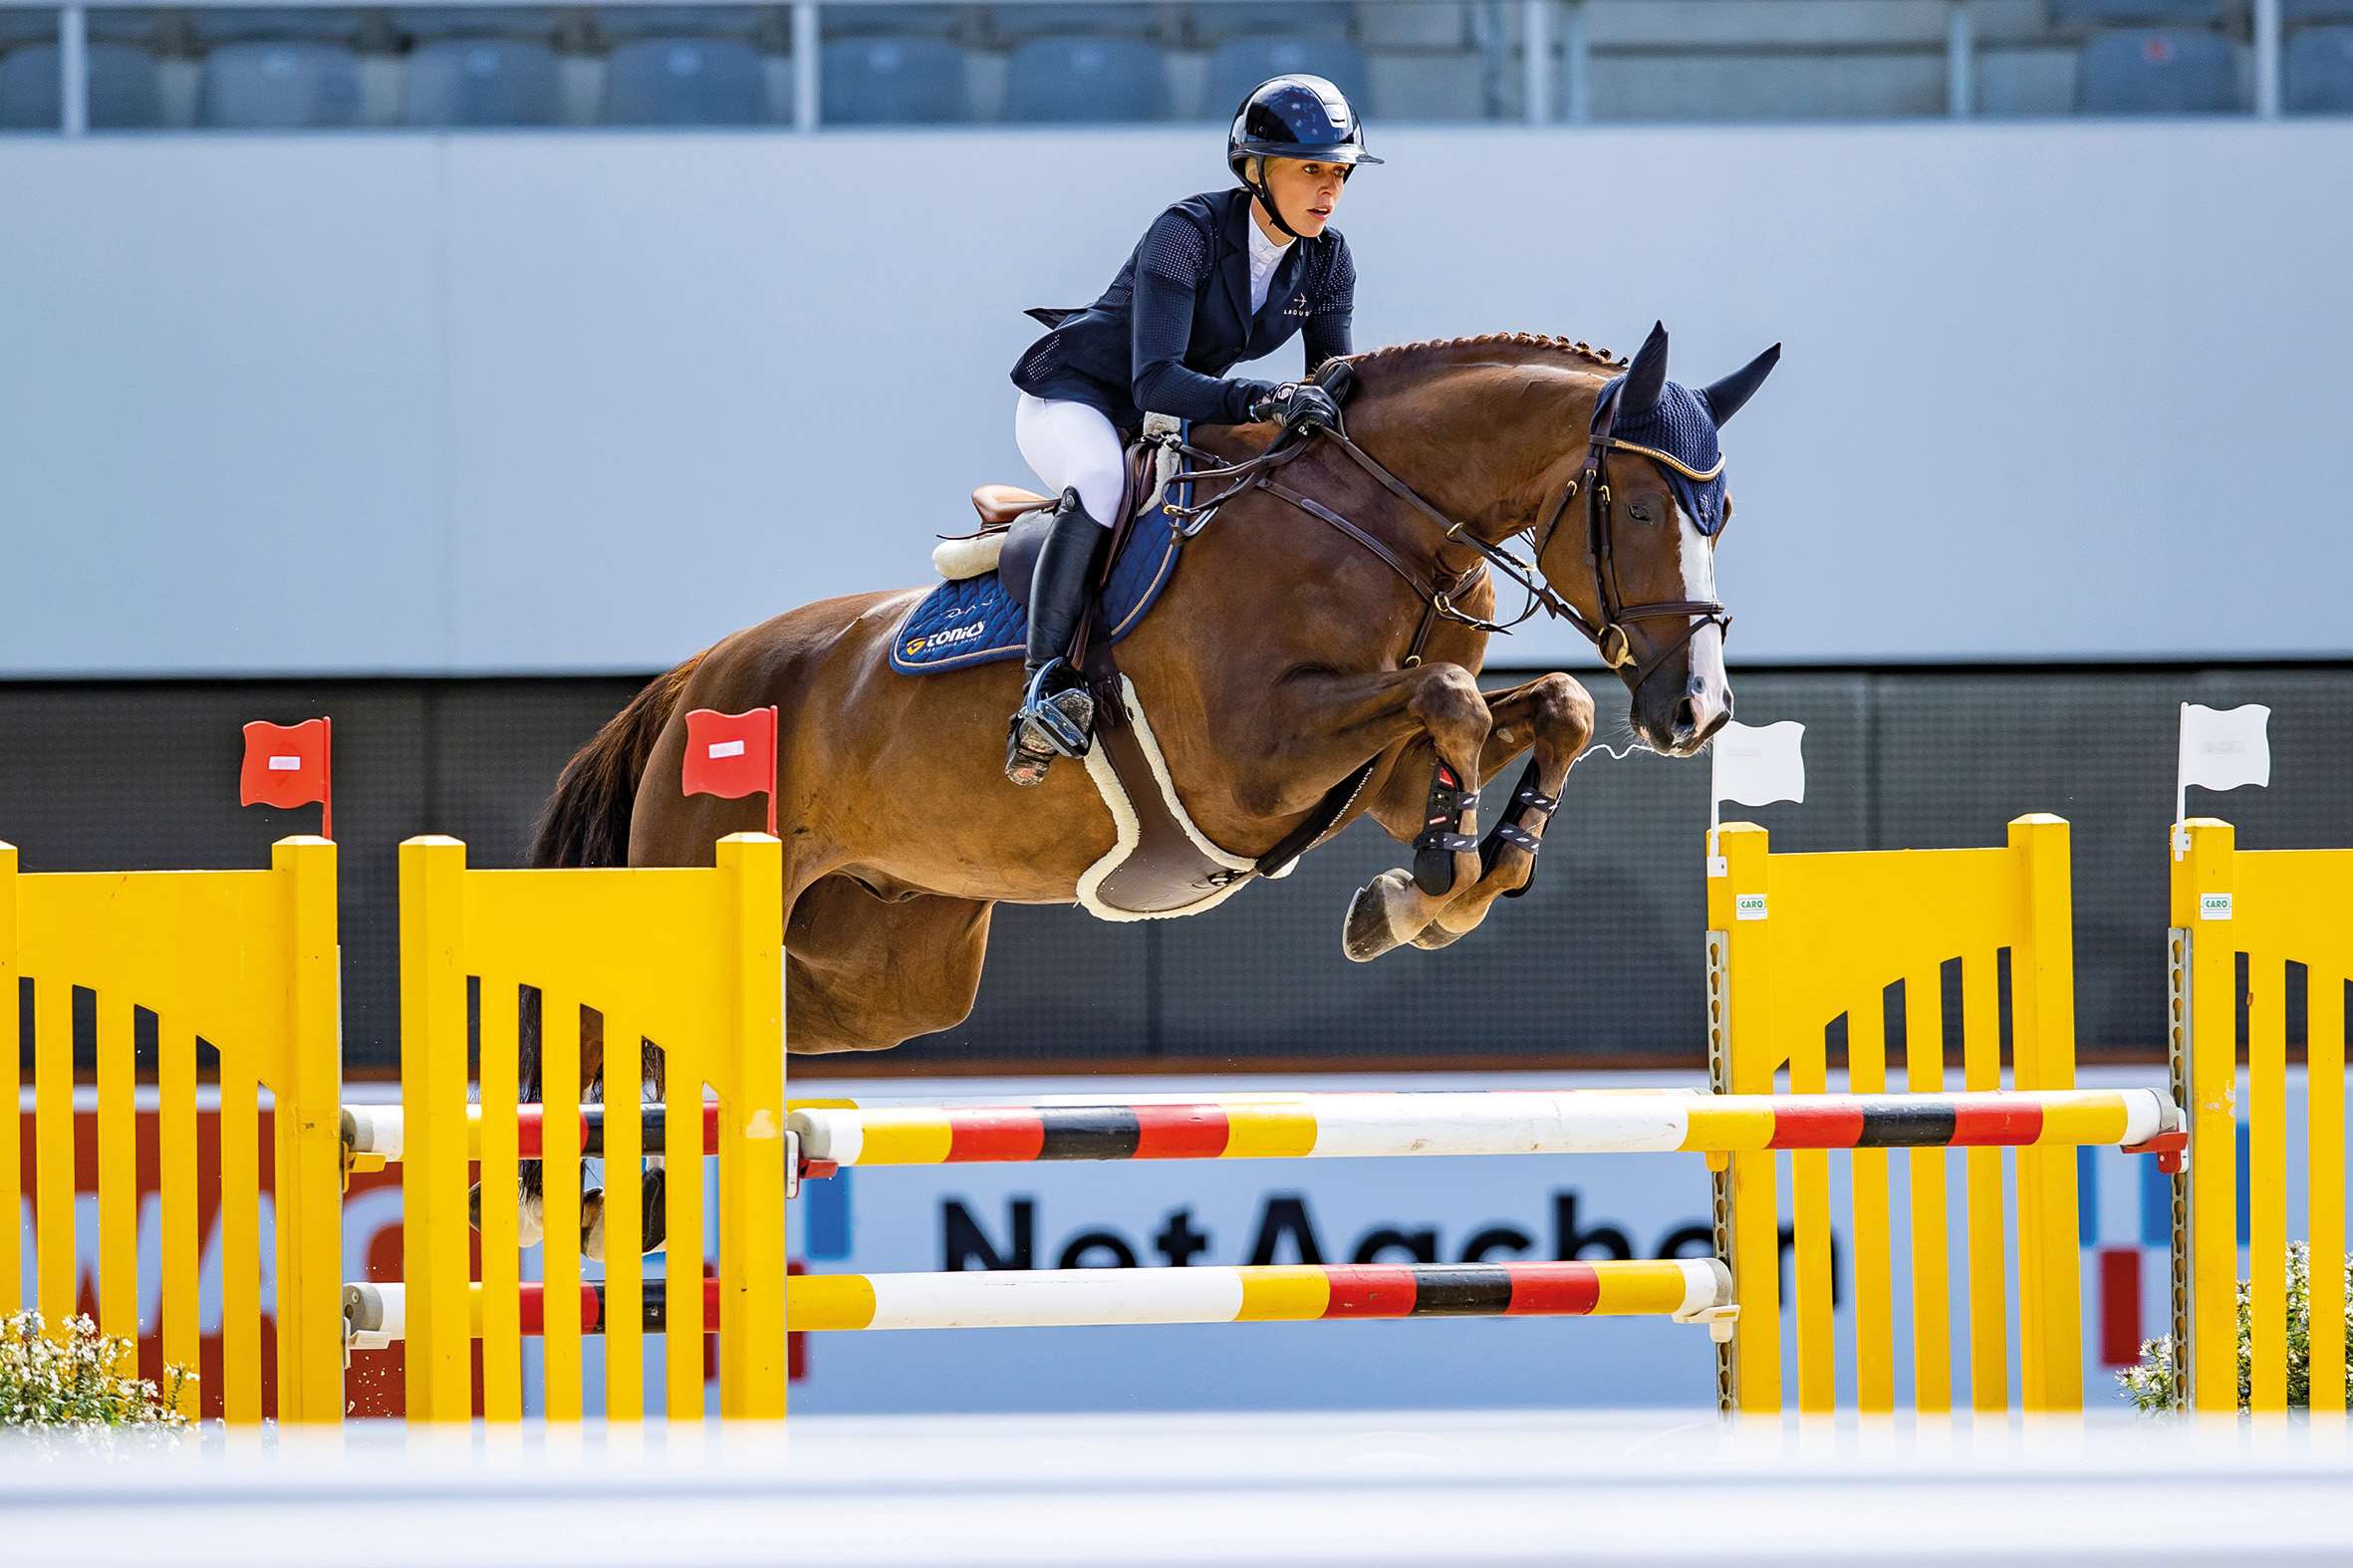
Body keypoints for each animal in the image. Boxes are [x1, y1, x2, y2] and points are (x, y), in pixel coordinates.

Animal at [514, 321, 1779, 1252]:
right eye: (1640, 506)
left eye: (1721, 513)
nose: (1696, 710)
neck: (1381, 520)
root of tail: (692, 679)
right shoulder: (1252, 759)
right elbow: (1455, 699)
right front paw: (1429, 880)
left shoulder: (1373, 768)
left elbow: (1543, 706)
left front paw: (1440, 887)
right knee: (617, 1018)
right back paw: (564, 1187)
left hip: (895, 961)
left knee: (763, 1022)